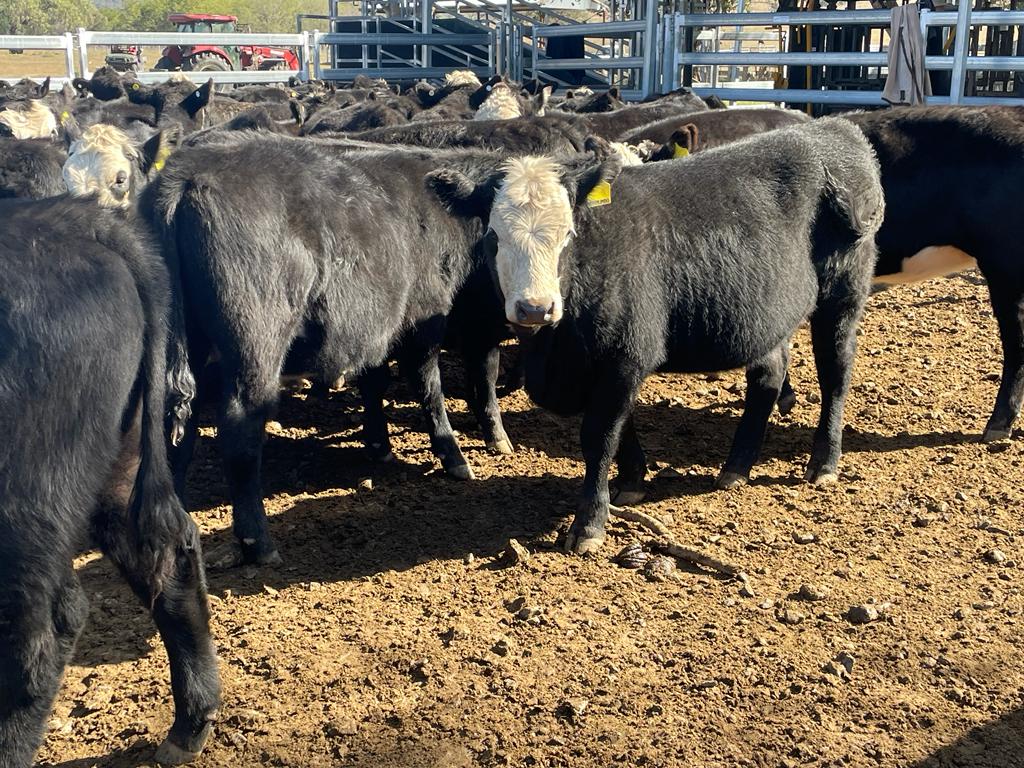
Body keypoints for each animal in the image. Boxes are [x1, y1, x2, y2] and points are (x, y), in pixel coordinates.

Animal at [0, 195, 220, 768]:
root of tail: (75, 221)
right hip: (123, 457)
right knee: (166, 552)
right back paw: (190, 724)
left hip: (28, 494)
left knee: (41, 631)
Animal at [139, 135, 511, 566]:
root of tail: (184, 175)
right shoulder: (424, 318)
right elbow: (429, 388)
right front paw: (454, 457)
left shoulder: (377, 327)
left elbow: (375, 382)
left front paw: (379, 445)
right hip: (256, 348)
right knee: (239, 429)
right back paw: (258, 542)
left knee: (172, 435)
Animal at [427, 117, 884, 554]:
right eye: (493, 235)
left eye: (568, 235)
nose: (536, 307)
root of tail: (836, 129)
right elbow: (622, 424)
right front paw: (633, 480)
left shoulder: (624, 354)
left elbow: (599, 436)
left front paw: (588, 524)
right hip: (769, 315)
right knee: (768, 378)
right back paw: (736, 468)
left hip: (844, 293)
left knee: (835, 372)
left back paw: (824, 463)